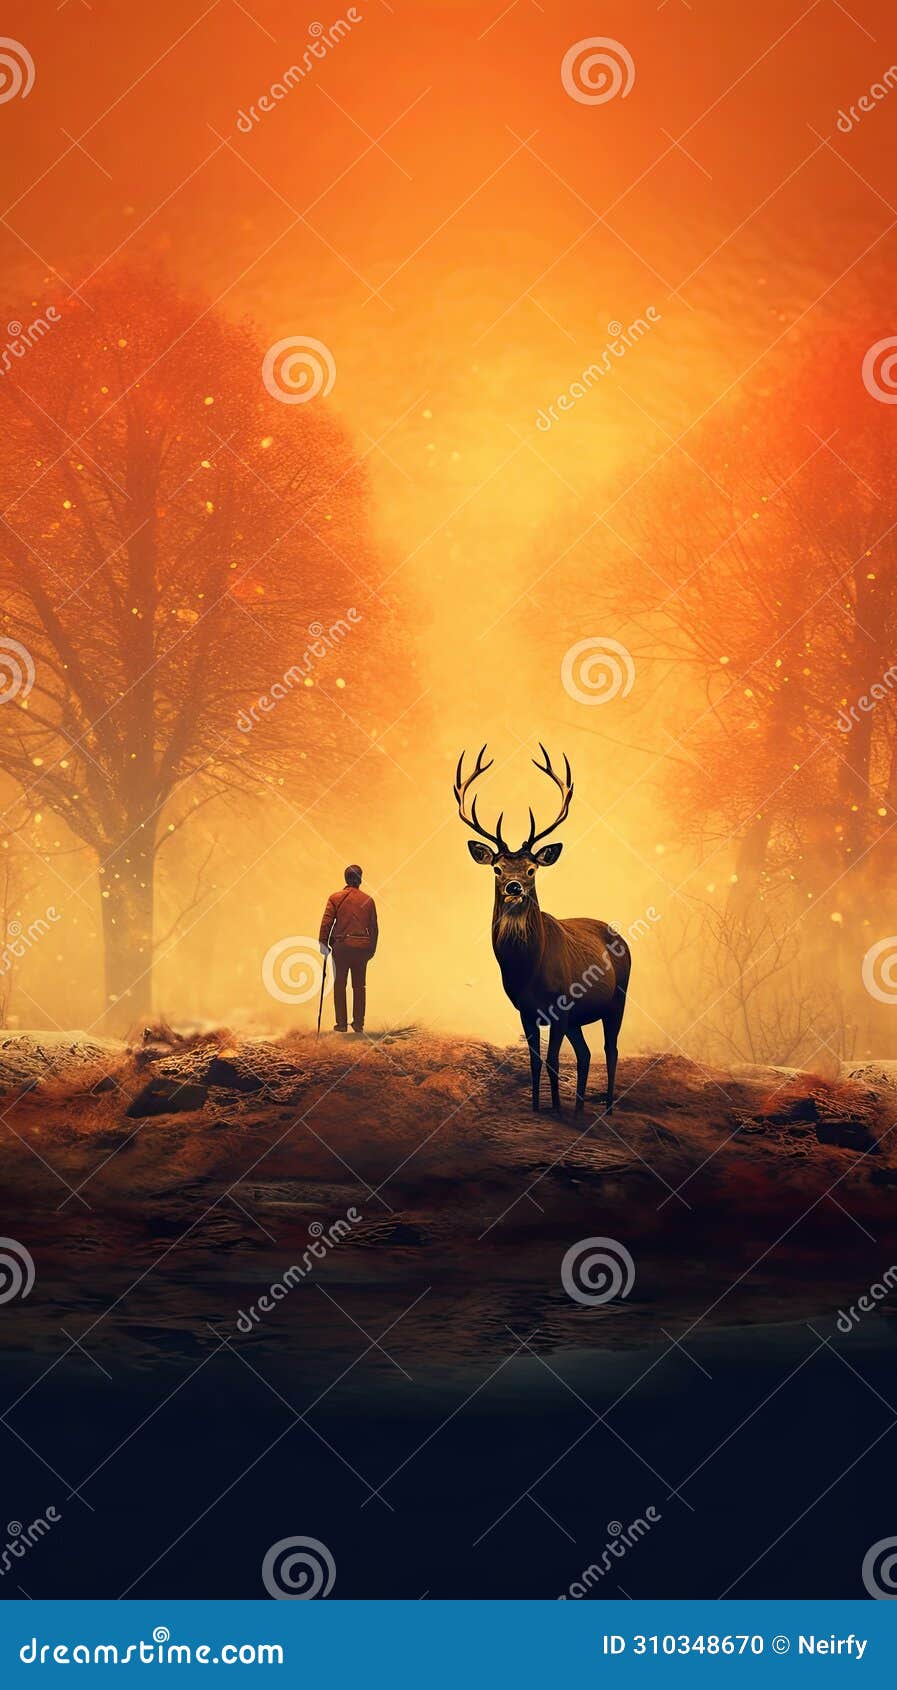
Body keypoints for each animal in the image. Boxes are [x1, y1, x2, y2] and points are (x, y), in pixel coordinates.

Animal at [454, 744, 630, 1117]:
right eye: (497, 868)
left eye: (532, 868)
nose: (514, 887)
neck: (529, 970)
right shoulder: (526, 1010)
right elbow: (535, 1061)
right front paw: (538, 1106)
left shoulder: (561, 1007)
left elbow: (552, 1060)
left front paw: (556, 1110)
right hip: (581, 1017)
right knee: (585, 1053)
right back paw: (579, 1108)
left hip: (618, 999)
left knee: (610, 1050)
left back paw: (606, 1108)